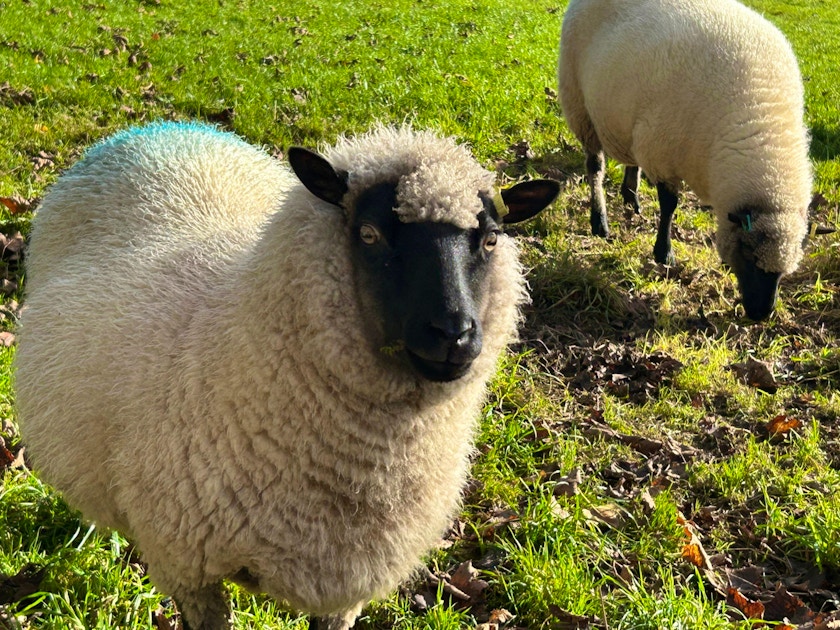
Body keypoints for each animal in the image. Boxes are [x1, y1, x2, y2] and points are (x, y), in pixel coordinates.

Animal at [14, 121, 560, 630]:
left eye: (490, 238)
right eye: (369, 234)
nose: (453, 334)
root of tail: (161, 128)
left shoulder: (346, 587)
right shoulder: (187, 566)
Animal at [558, 0, 813, 320]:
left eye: (784, 271)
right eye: (747, 253)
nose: (761, 315)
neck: (760, 120)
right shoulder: (661, 150)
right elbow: (669, 205)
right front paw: (664, 253)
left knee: (630, 158)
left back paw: (630, 196)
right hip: (579, 104)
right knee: (595, 167)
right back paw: (599, 221)